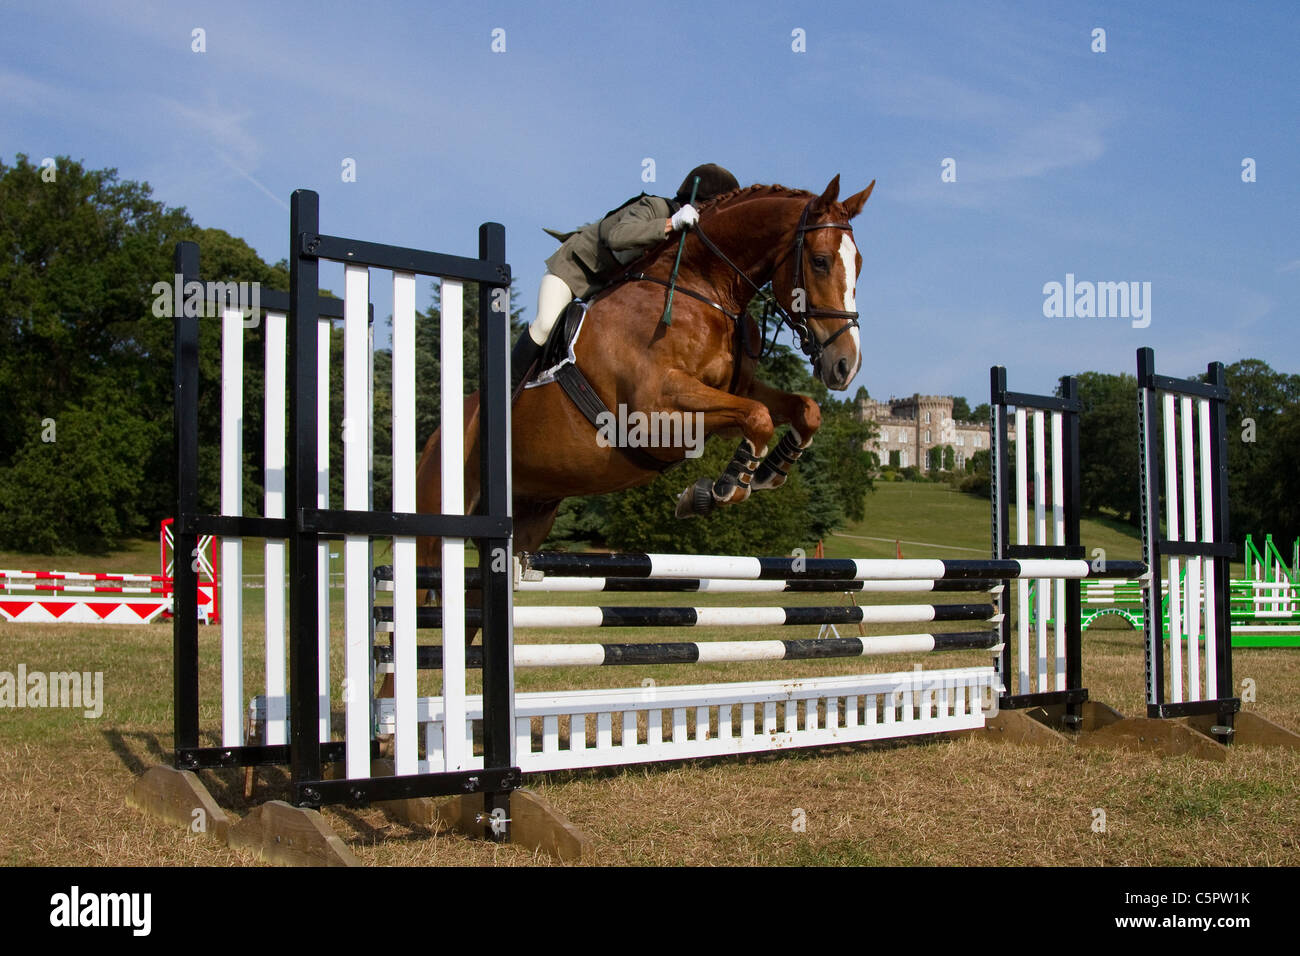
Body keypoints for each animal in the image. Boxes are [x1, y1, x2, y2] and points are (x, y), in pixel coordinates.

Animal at [415, 175, 875, 571]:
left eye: (859, 263)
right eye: (820, 261)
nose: (845, 365)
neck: (704, 287)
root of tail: (436, 435)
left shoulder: (732, 394)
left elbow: (802, 410)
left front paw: (762, 474)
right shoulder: (651, 412)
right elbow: (759, 416)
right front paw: (719, 489)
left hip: (531, 515)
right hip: (437, 525)